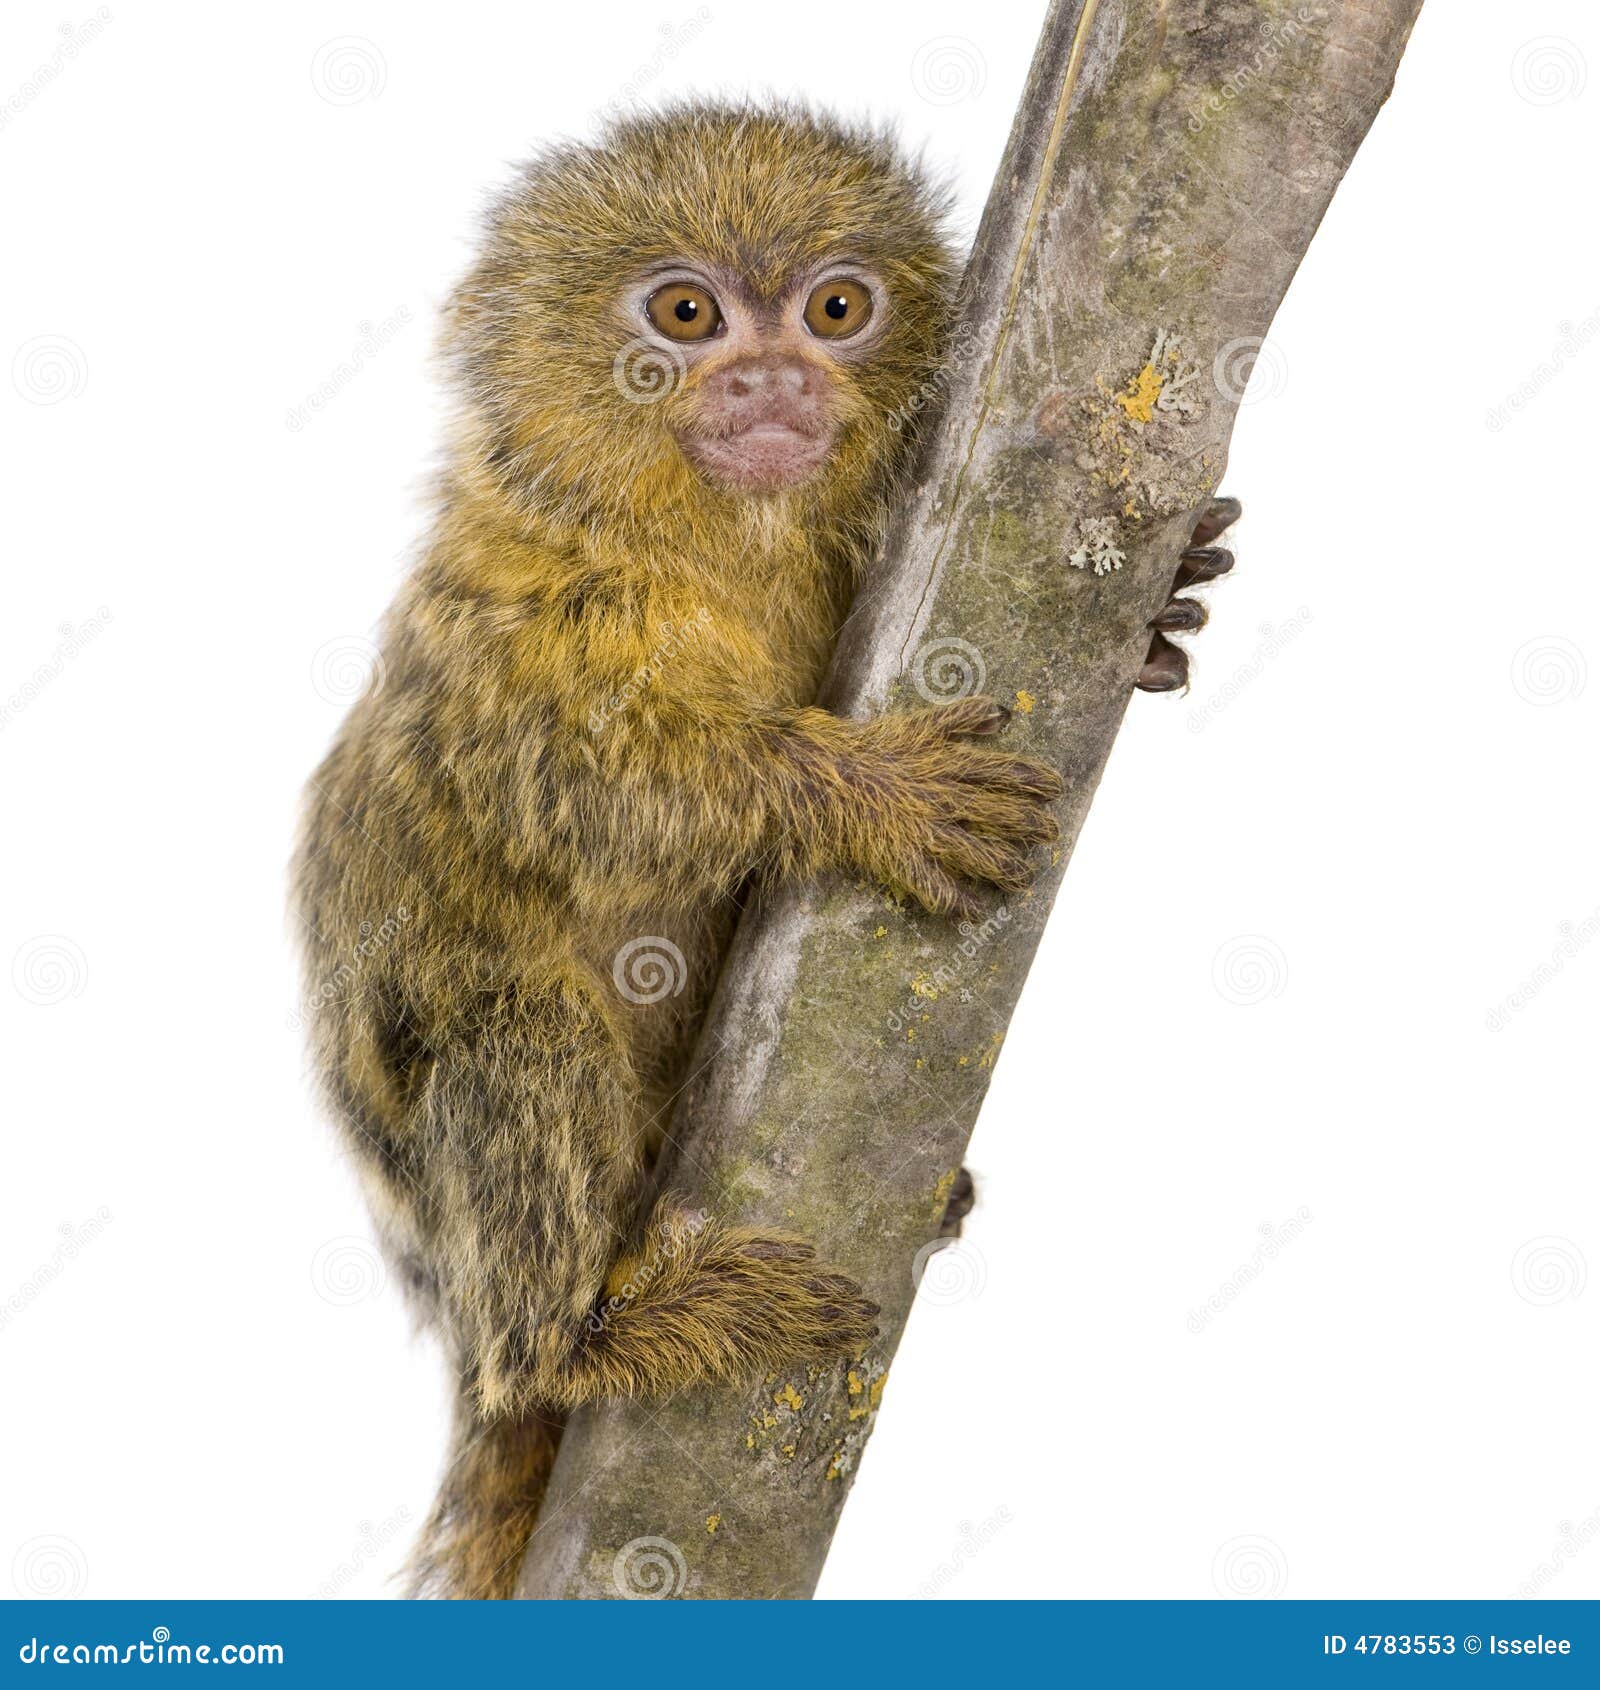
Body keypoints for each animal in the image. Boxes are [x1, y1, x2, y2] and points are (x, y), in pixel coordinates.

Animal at [292, 101, 1239, 1600]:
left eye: (838, 309)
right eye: (686, 315)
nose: (776, 379)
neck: (714, 539)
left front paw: (1166, 603)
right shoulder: (518, 629)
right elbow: (601, 789)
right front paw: (877, 792)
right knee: (512, 1041)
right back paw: (593, 1339)